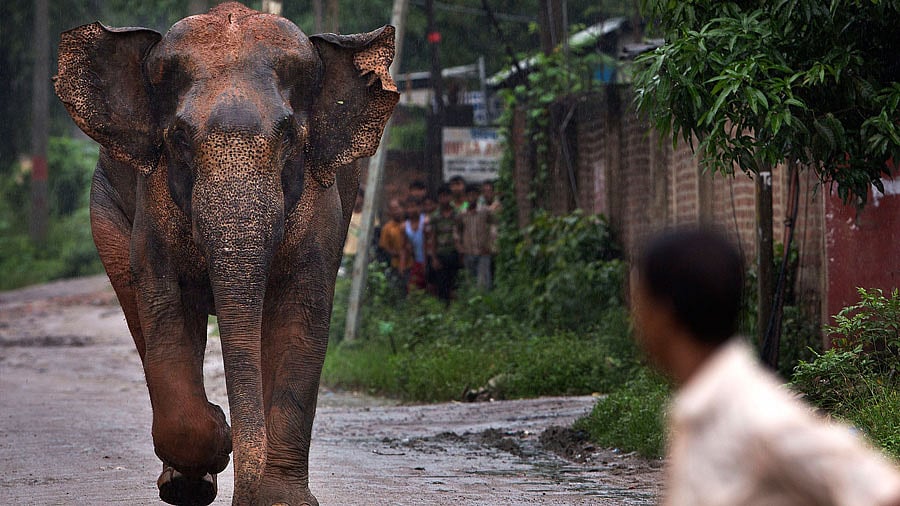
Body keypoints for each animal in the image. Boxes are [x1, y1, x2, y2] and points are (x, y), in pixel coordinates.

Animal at [53, 3, 398, 505]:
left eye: (289, 139)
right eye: (178, 138)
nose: (245, 494)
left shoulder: (323, 202)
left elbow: (301, 314)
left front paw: (281, 501)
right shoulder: (153, 198)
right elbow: (165, 306)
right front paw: (218, 438)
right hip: (106, 209)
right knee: (143, 316)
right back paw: (185, 481)